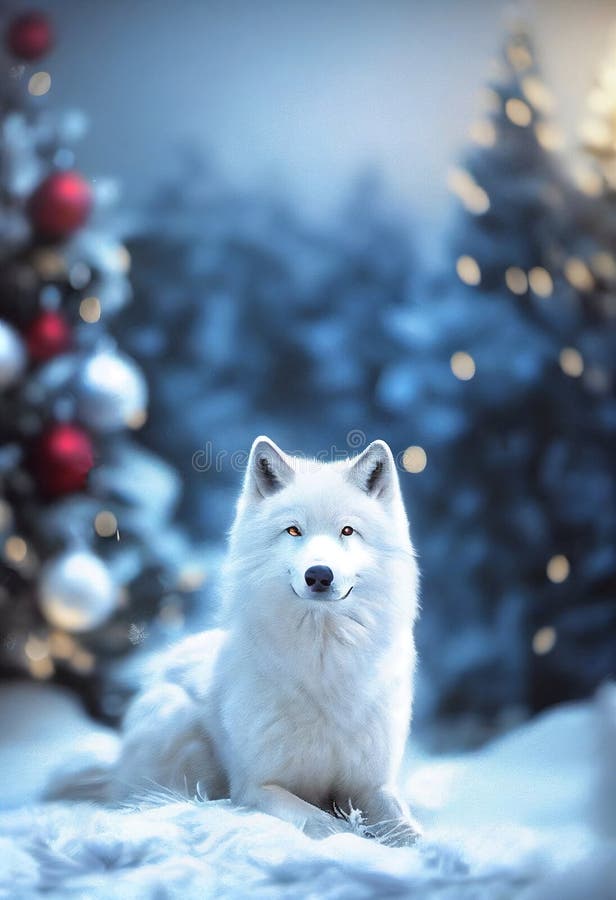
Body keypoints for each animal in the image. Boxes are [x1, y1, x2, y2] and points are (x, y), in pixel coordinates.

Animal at [54, 437, 421, 844]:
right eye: (293, 531)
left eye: (347, 531)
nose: (318, 575)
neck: (324, 662)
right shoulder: (257, 786)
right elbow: (321, 823)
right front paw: (349, 836)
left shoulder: (371, 785)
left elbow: (408, 829)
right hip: (178, 726)